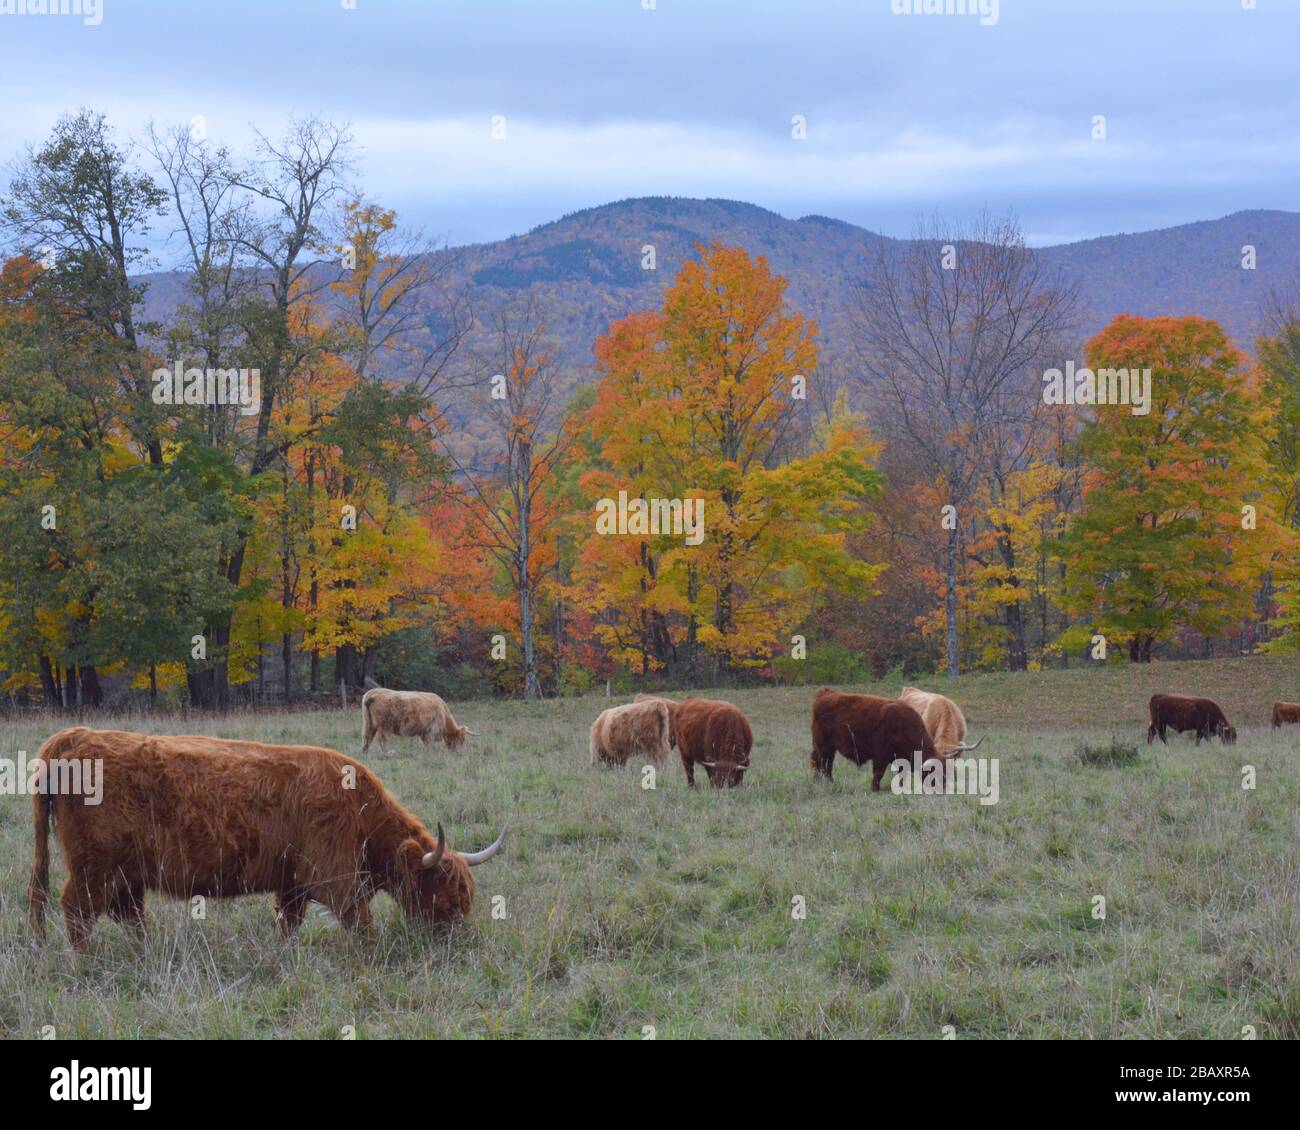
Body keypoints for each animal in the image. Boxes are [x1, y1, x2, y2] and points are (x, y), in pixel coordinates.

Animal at [28, 727, 506, 952]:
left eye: (466, 897)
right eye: (442, 895)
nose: (455, 941)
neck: (360, 812)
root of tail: (72, 737)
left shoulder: (292, 884)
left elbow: (288, 925)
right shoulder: (336, 881)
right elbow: (362, 924)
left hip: (127, 871)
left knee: (127, 913)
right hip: (94, 867)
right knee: (77, 909)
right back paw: (87, 960)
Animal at [810, 688, 940, 788]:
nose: (942, 787)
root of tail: (825, 693)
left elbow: (901, 775)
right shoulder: (880, 757)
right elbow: (878, 774)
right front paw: (875, 788)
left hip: (824, 748)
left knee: (819, 762)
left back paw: (819, 781)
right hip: (825, 748)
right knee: (824, 764)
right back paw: (828, 782)